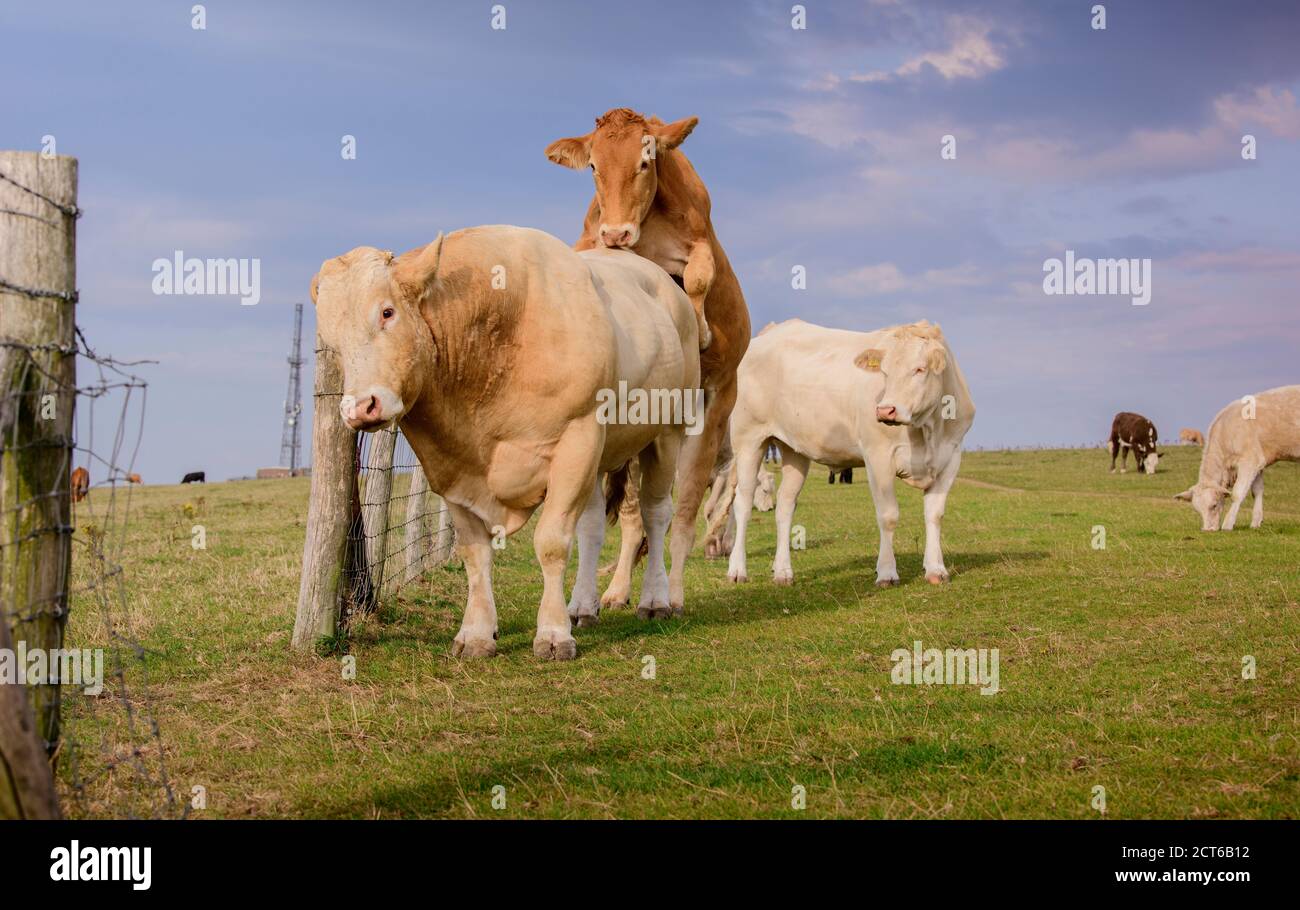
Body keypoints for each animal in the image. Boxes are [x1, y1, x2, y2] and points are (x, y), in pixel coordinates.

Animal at [311, 225, 700, 659]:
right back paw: (583, 606)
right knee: (593, 526)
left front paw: (553, 633)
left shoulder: (576, 439)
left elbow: (551, 542)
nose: (360, 408)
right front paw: (477, 633)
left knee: (656, 513)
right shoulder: (449, 467)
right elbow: (474, 552)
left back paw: (656, 600)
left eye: (387, 312)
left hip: (668, 431)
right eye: (331, 339)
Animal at [546, 107, 751, 616]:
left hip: (712, 411)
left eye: (645, 161)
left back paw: (670, 594)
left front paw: (700, 327)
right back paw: (617, 590)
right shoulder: (590, 242)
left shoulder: (700, 243)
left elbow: (698, 276)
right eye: (593, 167)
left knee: (683, 515)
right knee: (636, 519)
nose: (616, 232)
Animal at [727, 319, 974, 587]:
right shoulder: (878, 456)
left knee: (785, 505)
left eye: (920, 369)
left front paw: (936, 569)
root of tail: (772, 331)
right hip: (748, 440)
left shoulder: (950, 458)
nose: (885, 410)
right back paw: (737, 569)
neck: (927, 429)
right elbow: (888, 515)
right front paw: (886, 573)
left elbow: (935, 515)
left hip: (794, 450)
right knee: (743, 502)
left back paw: (783, 572)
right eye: (884, 372)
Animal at [1175, 385, 1300, 531]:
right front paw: (1255, 522)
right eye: (1197, 510)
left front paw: (1228, 524)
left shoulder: (1250, 460)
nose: (1207, 530)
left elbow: (1237, 493)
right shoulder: (1257, 464)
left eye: (1214, 505)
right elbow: (1257, 491)